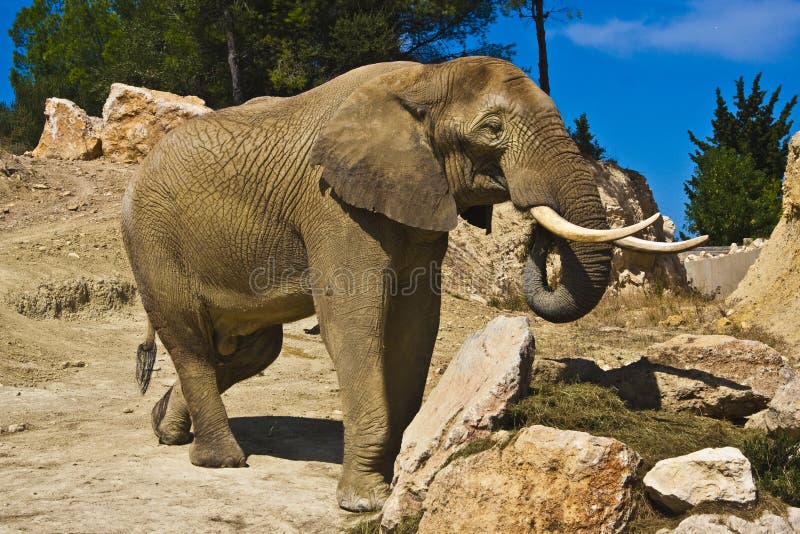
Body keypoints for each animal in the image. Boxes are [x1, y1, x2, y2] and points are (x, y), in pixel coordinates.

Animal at [121, 56, 704, 512]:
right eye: (492, 130)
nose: (537, 234)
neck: (425, 78)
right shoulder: (335, 204)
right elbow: (354, 320)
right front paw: (366, 501)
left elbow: (416, 320)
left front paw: (400, 471)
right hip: (152, 244)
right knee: (192, 340)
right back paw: (221, 460)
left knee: (252, 349)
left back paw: (165, 428)